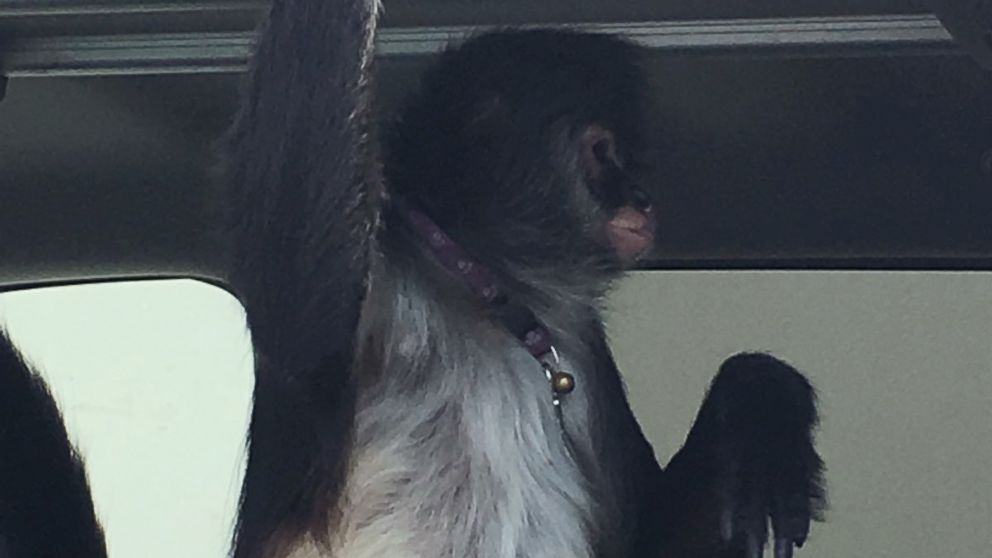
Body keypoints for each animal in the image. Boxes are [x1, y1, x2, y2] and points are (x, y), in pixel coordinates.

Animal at [222, 1, 825, 558]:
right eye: (602, 153)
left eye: (626, 158)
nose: (643, 198)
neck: (486, 291)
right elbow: (299, 330)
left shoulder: (580, 342)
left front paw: (758, 402)